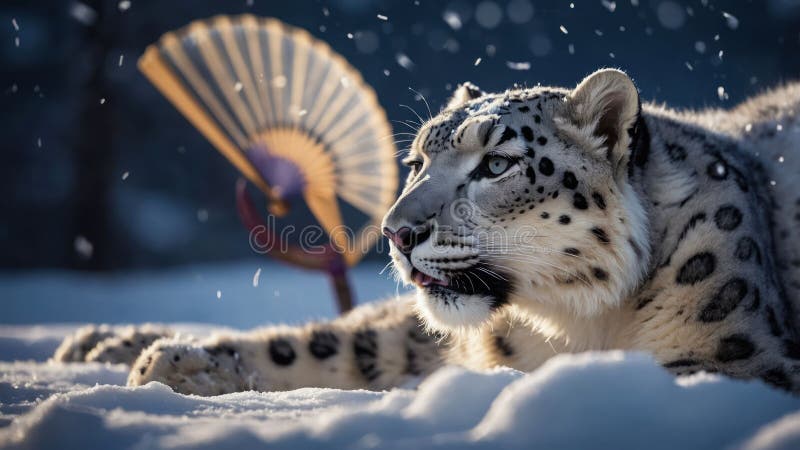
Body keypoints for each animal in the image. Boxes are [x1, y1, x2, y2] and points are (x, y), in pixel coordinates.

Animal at [54, 69, 800, 395]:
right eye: (416, 162)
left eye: (497, 163)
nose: (396, 231)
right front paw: (175, 364)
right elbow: (329, 347)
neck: (567, 323)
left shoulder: (736, 363)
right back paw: (110, 345)